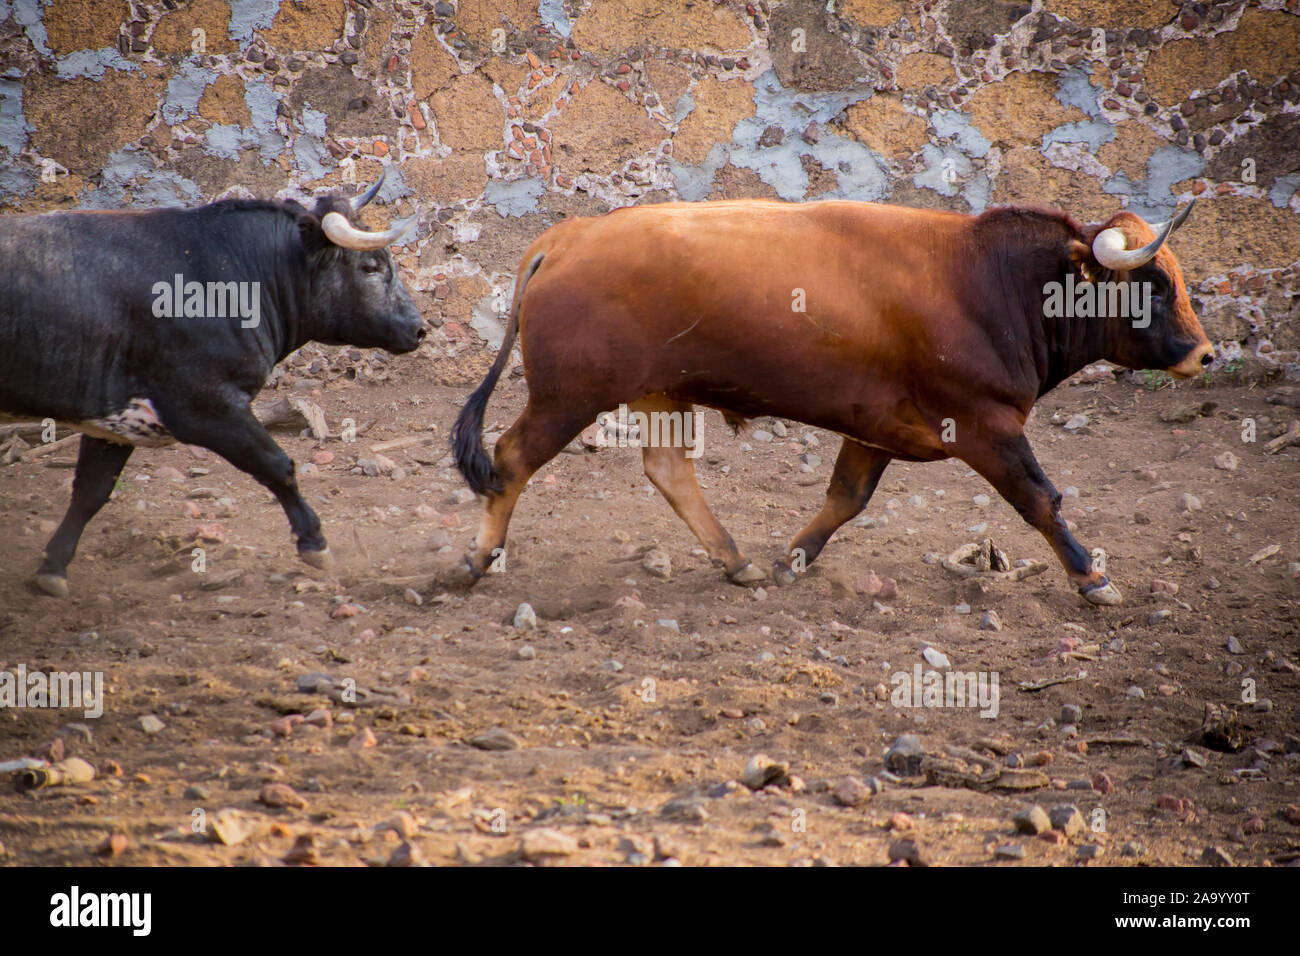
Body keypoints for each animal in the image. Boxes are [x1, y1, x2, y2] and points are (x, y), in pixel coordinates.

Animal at [0, 173, 426, 597]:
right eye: (370, 266)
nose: (419, 328)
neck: (230, 275)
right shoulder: (206, 406)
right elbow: (278, 465)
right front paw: (315, 543)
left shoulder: (114, 421)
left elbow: (92, 490)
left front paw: (53, 567)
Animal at [451, 198, 1213, 607]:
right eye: (1152, 286)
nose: (1206, 354)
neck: (986, 282)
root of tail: (571, 234)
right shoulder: (984, 426)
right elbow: (1042, 499)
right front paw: (1092, 577)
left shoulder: (874, 430)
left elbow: (846, 498)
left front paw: (793, 556)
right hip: (568, 397)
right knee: (509, 458)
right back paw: (474, 560)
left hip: (657, 394)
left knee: (668, 472)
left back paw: (735, 560)